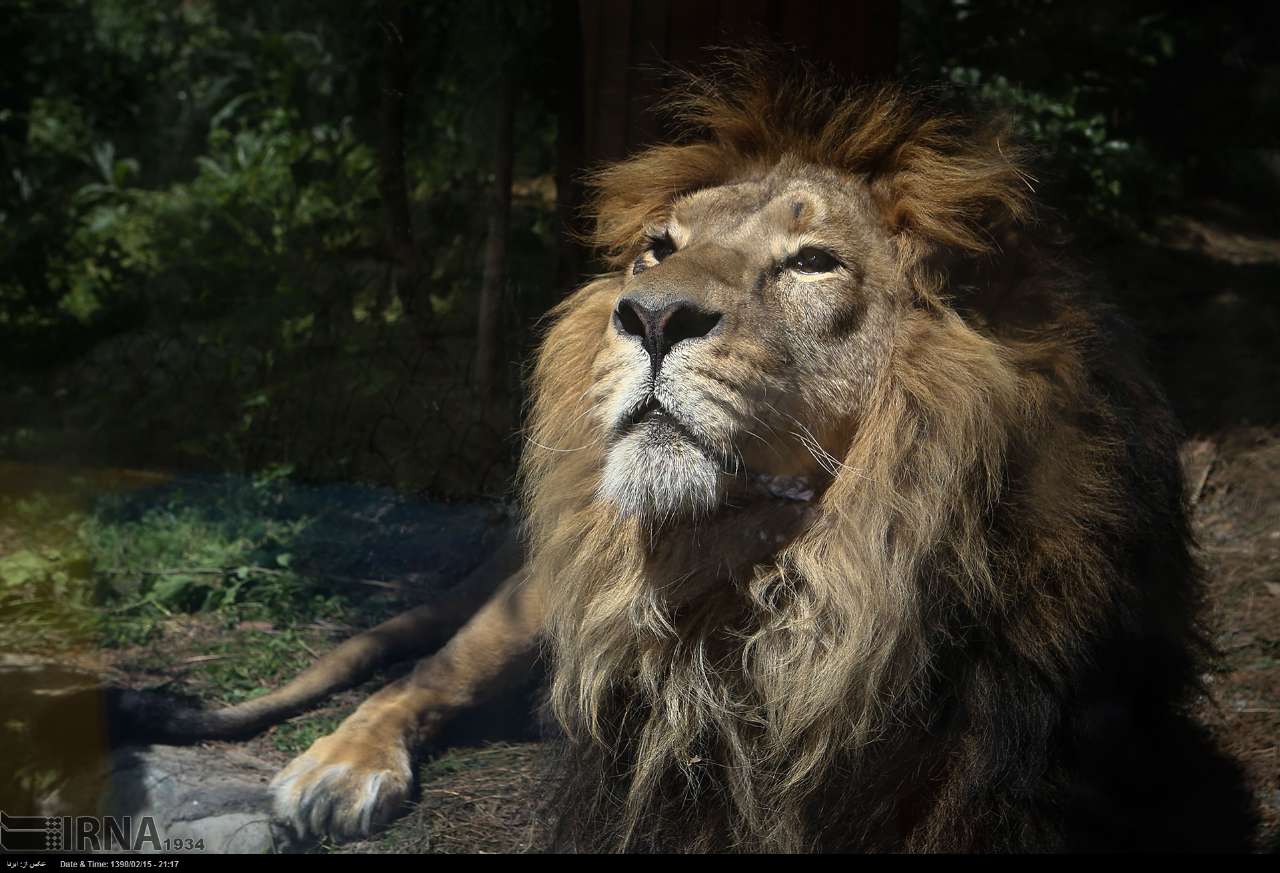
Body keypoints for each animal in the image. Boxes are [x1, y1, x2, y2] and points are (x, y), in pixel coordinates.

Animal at [110, 54, 1257, 851]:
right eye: (658, 248)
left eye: (812, 261)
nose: (649, 315)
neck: (794, 585)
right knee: (420, 674)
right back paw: (339, 767)